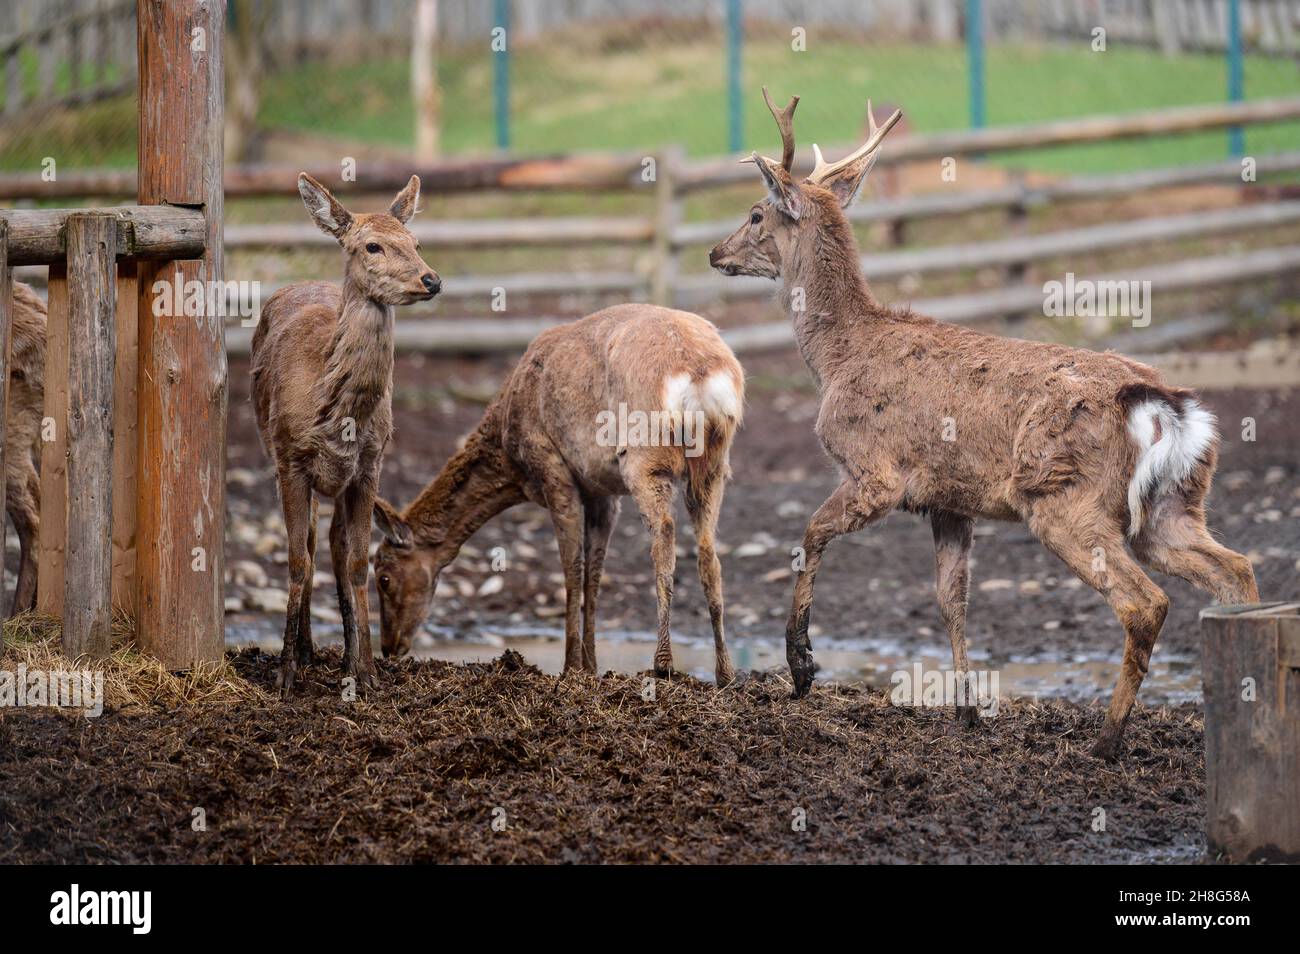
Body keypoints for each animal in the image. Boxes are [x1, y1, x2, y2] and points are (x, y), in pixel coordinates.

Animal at [251, 173, 440, 695]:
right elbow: (297, 558)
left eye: (416, 242)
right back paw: (306, 652)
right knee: (312, 546)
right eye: (372, 246)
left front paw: (366, 672)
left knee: (334, 546)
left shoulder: (370, 464)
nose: (431, 279)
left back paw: (343, 658)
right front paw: (285, 675)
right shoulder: (289, 459)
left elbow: (356, 560)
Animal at [368, 304, 744, 685]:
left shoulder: (552, 467)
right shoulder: (602, 492)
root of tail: (700, 374)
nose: (388, 647)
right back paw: (725, 672)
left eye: (383, 577)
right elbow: (594, 572)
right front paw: (592, 667)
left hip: (645, 456)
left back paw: (663, 663)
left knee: (665, 537)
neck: (512, 459)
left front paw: (571, 668)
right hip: (716, 463)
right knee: (708, 551)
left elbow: (571, 567)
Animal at [708, 88, 1259, 759]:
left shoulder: (876, 472)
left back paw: (1106, 740)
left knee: (1145, 602)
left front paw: (802, 665)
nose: (715, 252)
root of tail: (1161, 404)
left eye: (756, 213)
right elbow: (952, 600)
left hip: (1065, 498)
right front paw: (967, 711)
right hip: (1173, 505)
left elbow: (810, 534)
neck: (836, 358)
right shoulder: (949, 499)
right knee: (1236, 571)